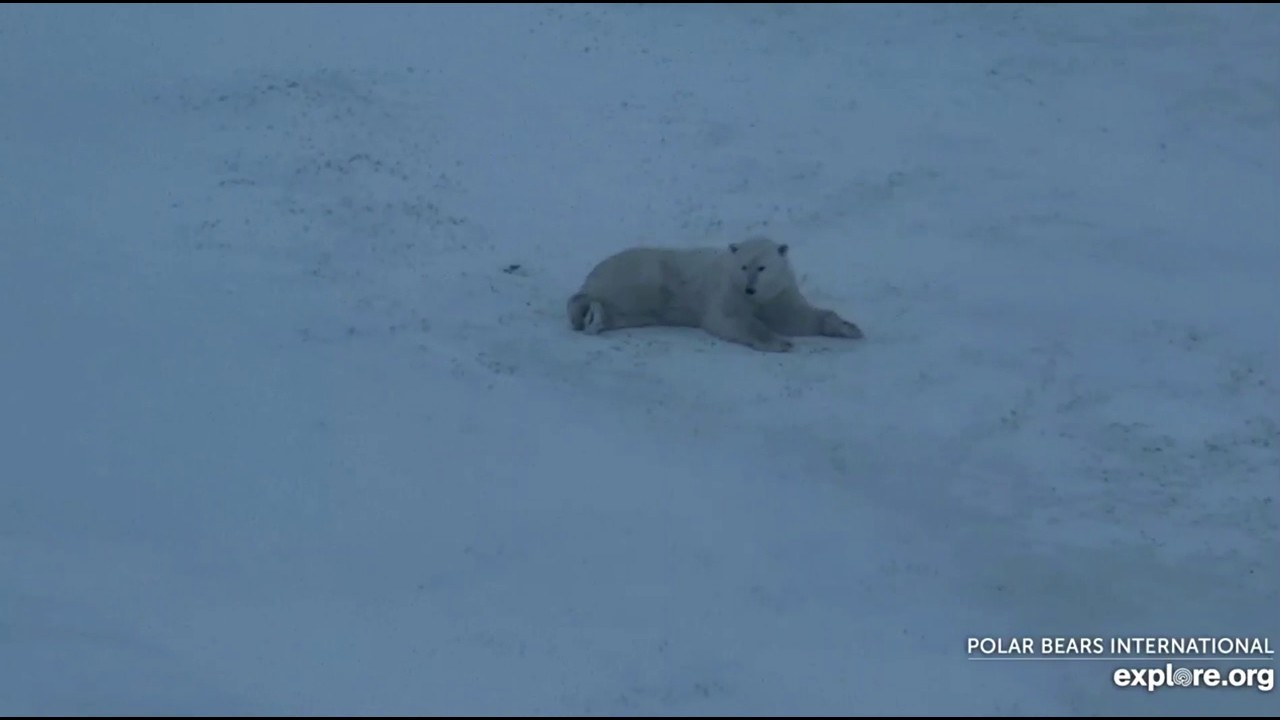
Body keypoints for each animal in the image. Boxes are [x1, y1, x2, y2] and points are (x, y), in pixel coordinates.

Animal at [566, 236, 863, 353]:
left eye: (762, 267)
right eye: (744, 266)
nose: (750, 288)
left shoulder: (778, 293)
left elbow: (797, 317)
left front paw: (849, 328)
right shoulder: (727, 291)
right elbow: (730, 320)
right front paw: (779, 342)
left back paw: (595, 318)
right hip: (637, 274)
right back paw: (588, 314)